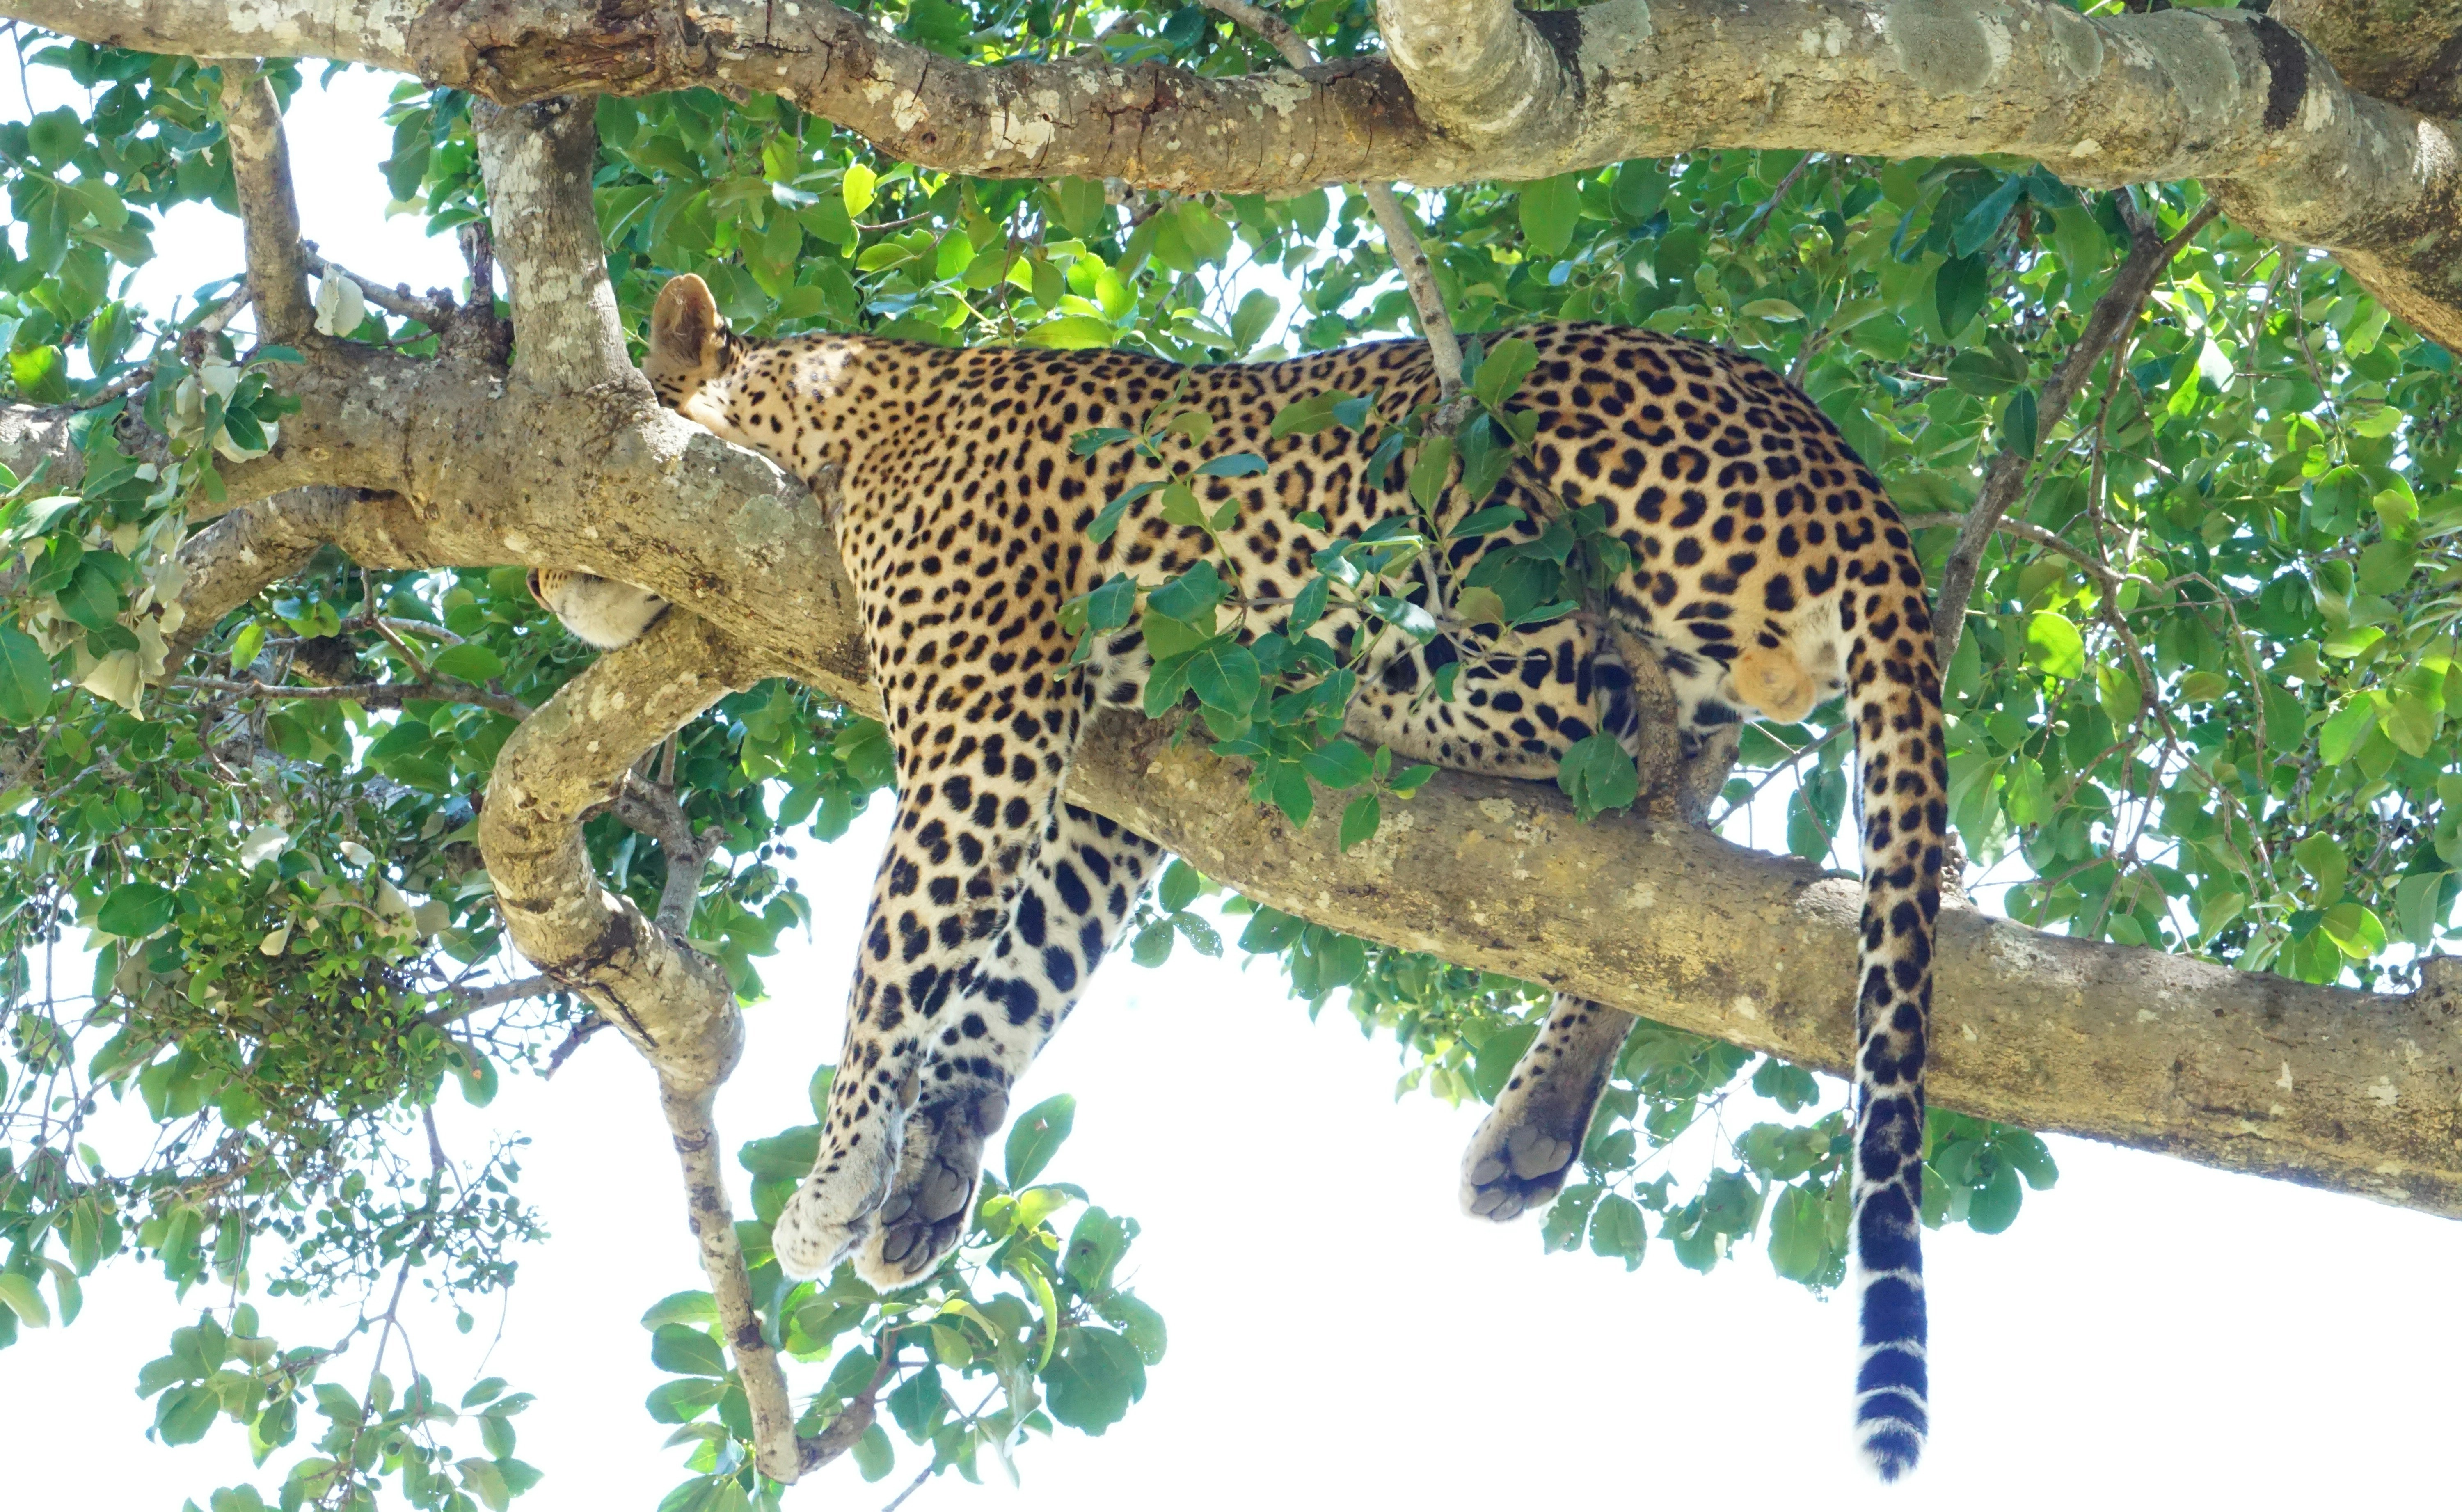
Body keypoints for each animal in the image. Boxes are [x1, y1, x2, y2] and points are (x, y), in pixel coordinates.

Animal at [544, 272, 1944, 1481]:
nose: (549, 576)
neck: (830, 407)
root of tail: (1838, 459)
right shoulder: (1099, 795)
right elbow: (1017, 972)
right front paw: (934, 1160)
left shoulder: (985, 721)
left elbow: (898, 957)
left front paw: (834, 1182)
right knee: (1651, 847)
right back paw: (1535, 1122)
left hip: (1467, 444)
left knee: (1575, 689)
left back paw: (1346, 681)